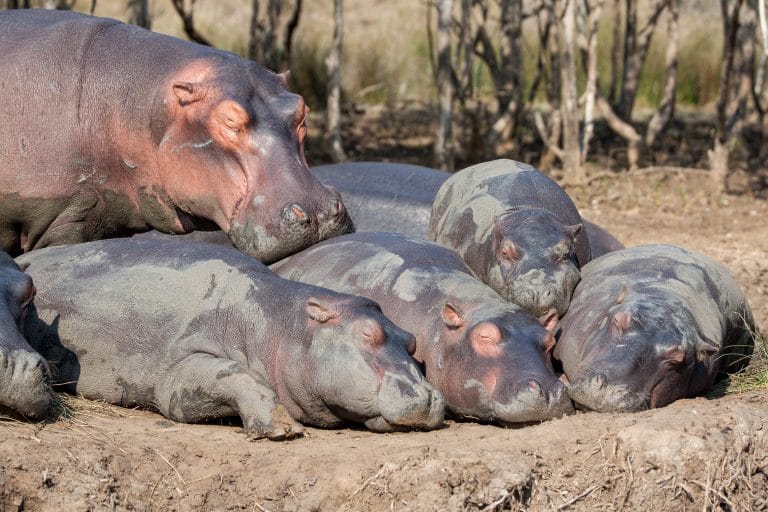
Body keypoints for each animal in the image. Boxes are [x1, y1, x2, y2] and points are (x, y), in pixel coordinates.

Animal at [18, 239, 444, 438]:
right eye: (368, 333)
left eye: (411, 340)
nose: (428, 395)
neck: (277, 322)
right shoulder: (181, 367)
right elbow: (234, 375)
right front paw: (282, 429)